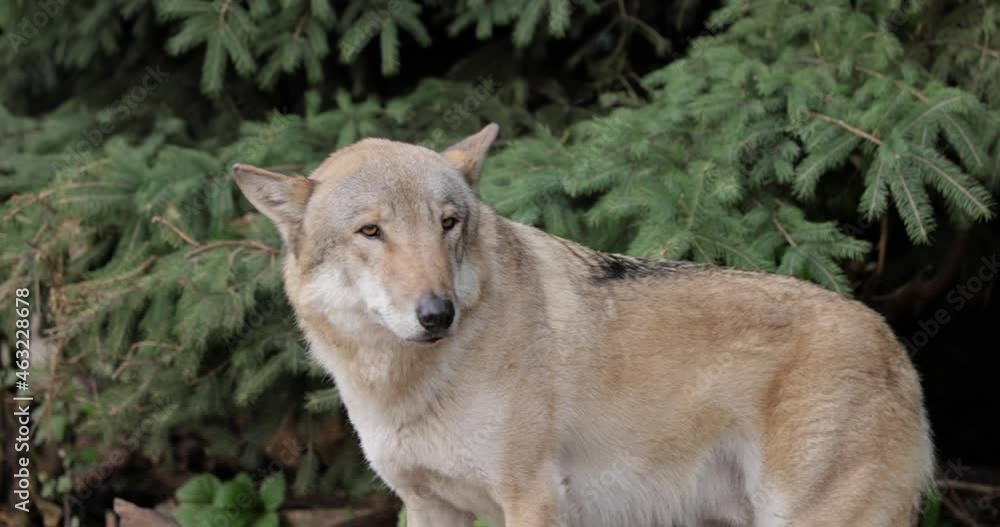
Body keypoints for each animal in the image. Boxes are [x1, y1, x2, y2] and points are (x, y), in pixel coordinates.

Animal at [233, 124, 933, 526]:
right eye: (371, 231)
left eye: (448, 223)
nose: (438, 313)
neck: (407, 385)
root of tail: (895, 344)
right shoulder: (428, 508)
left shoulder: (531, 499)